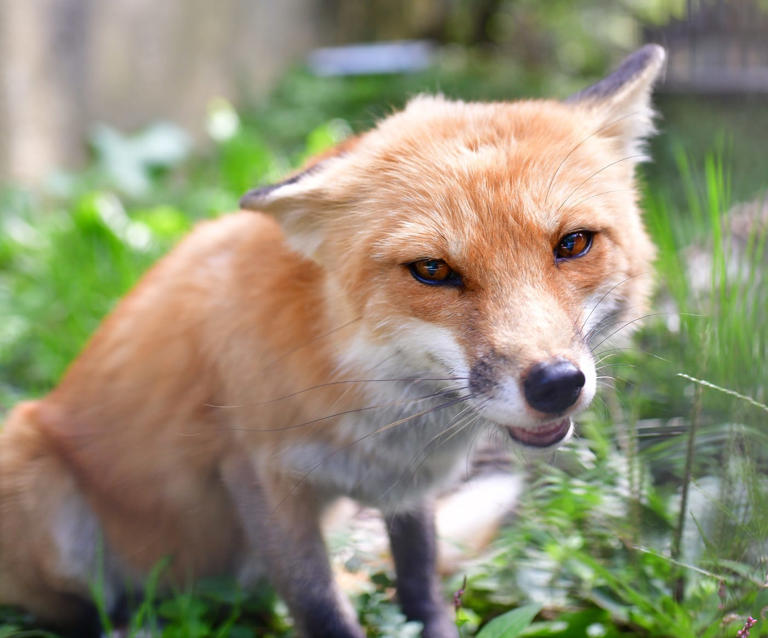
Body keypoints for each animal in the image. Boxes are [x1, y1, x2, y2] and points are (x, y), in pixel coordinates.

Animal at [0, 45, 664, 637]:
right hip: (37, 485)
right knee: (90, 609)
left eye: (573, 243)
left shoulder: (403, 488)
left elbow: (419, 577)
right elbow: (319, 604)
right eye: (432, 270)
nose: (556, 384)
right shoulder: (258, 477)